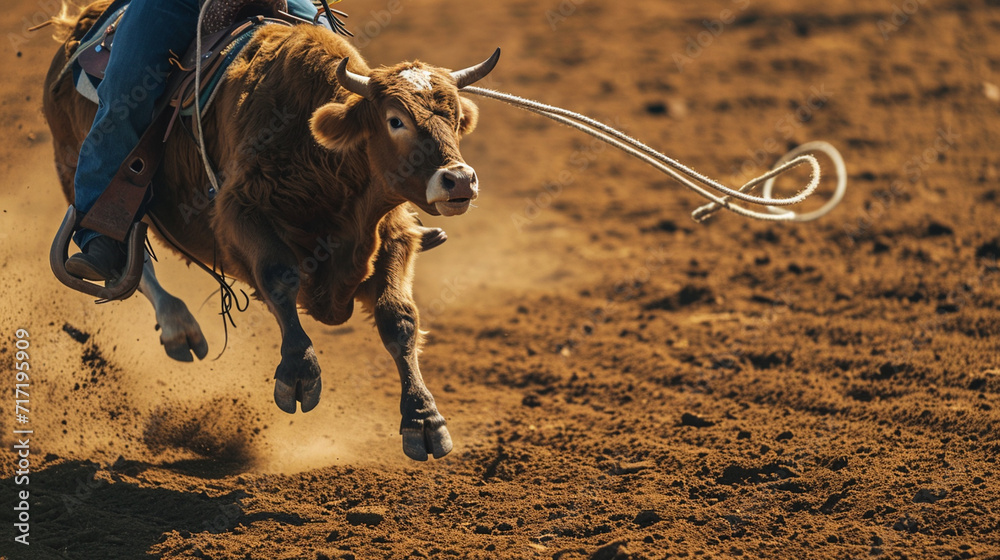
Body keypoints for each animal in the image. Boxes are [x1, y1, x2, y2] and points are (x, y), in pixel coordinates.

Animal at [42, 2, 500, 460]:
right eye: (395, 120)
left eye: (456, 118)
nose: (459, 180)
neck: (320, 156)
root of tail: (80, 25)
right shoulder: (238, 215)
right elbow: (280, 276)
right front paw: (298, 372)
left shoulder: (389, 232)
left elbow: (398, 316)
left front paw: (424, 419)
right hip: (73, 164)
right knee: (124, 255)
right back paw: (172, 320)